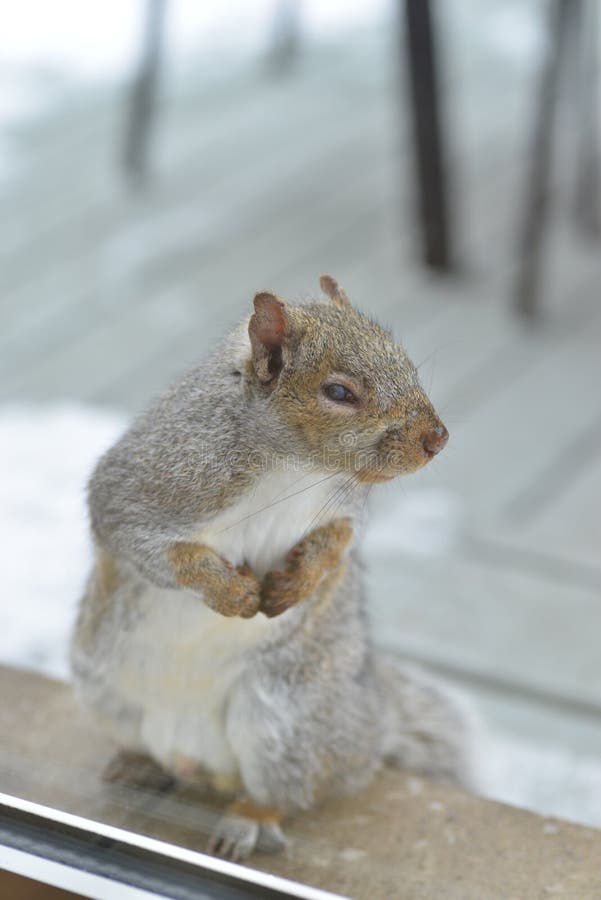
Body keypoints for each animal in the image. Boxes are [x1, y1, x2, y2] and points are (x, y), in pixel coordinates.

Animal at [70, 275, 475, 861]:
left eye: (407, 364)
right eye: (339, 393)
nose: (437, 438)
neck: (295, 466)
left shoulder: (345, 506)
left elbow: (340, 541)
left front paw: (296, 583)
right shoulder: (154, 479)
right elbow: (138, 537)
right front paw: (230, 592)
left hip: (285, 719)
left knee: (282, 793)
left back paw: (247, 819)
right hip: (104, 688)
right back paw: (140, 764)